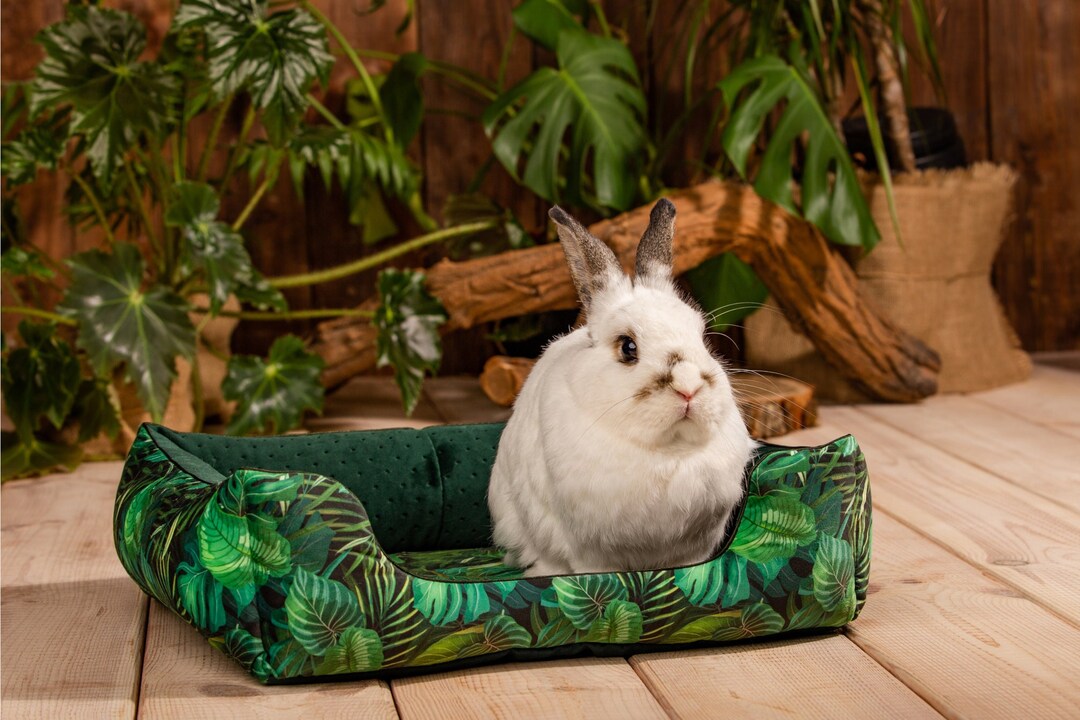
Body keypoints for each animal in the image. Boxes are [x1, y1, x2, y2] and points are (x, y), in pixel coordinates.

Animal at [487, 198, 756, 577]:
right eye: (628, 347)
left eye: (702, 337)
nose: (688, 387)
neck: (667, 451)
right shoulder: (590, 552)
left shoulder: (694, 550)